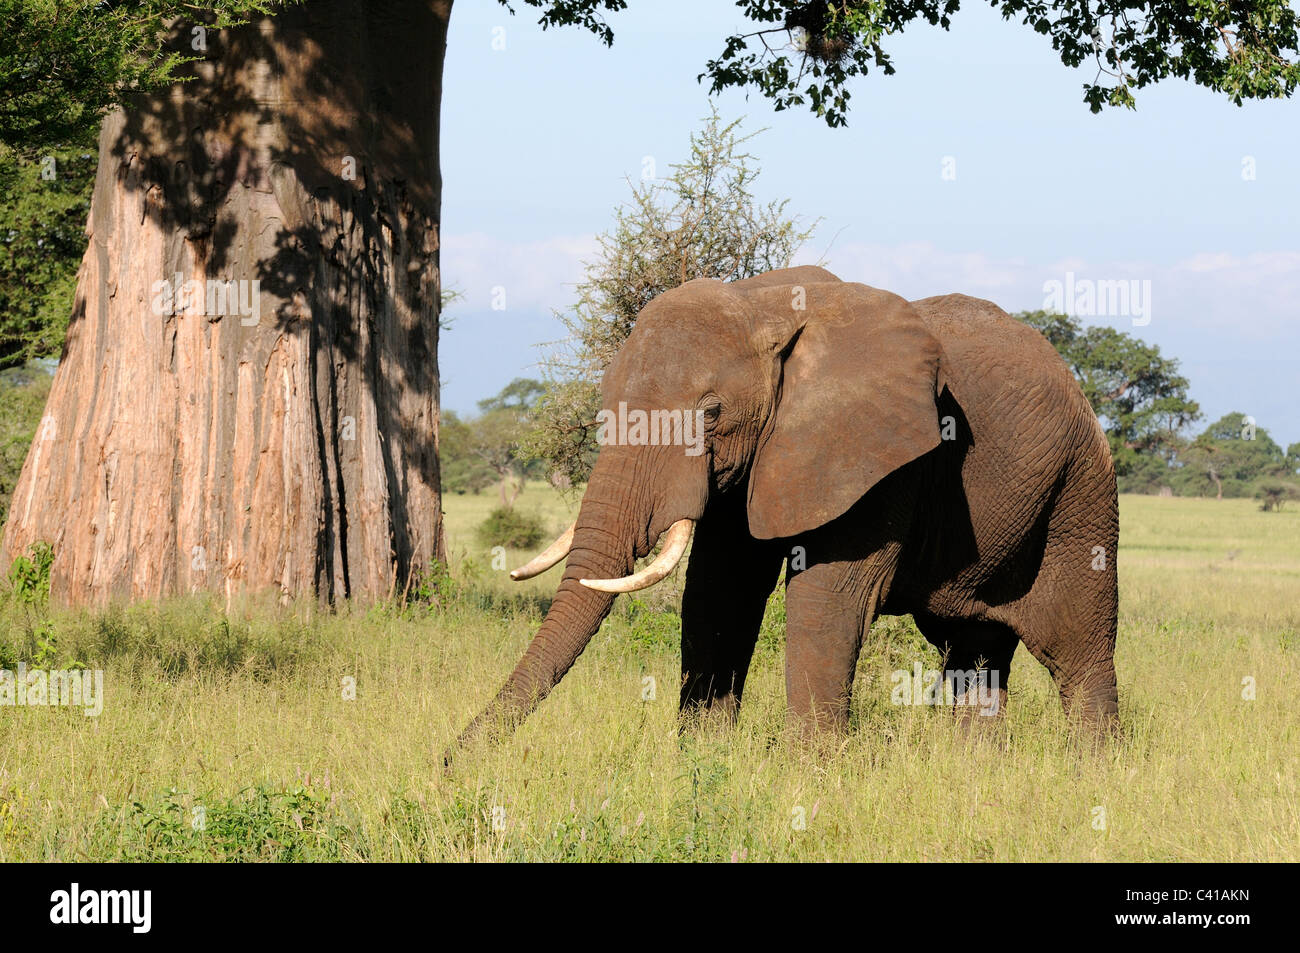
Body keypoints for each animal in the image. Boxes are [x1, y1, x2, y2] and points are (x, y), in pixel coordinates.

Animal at [449, 265, 1118, 757]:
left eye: (710, 412)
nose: (448, 764)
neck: (765, 307)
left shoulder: (876, 456)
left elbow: (829, 597)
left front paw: (810, 777)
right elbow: (721, 592)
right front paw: (703, 764)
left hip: (1081, 491)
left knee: (1078, 650)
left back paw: (1093, 774)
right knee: (974, 653)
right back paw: (975, 771)